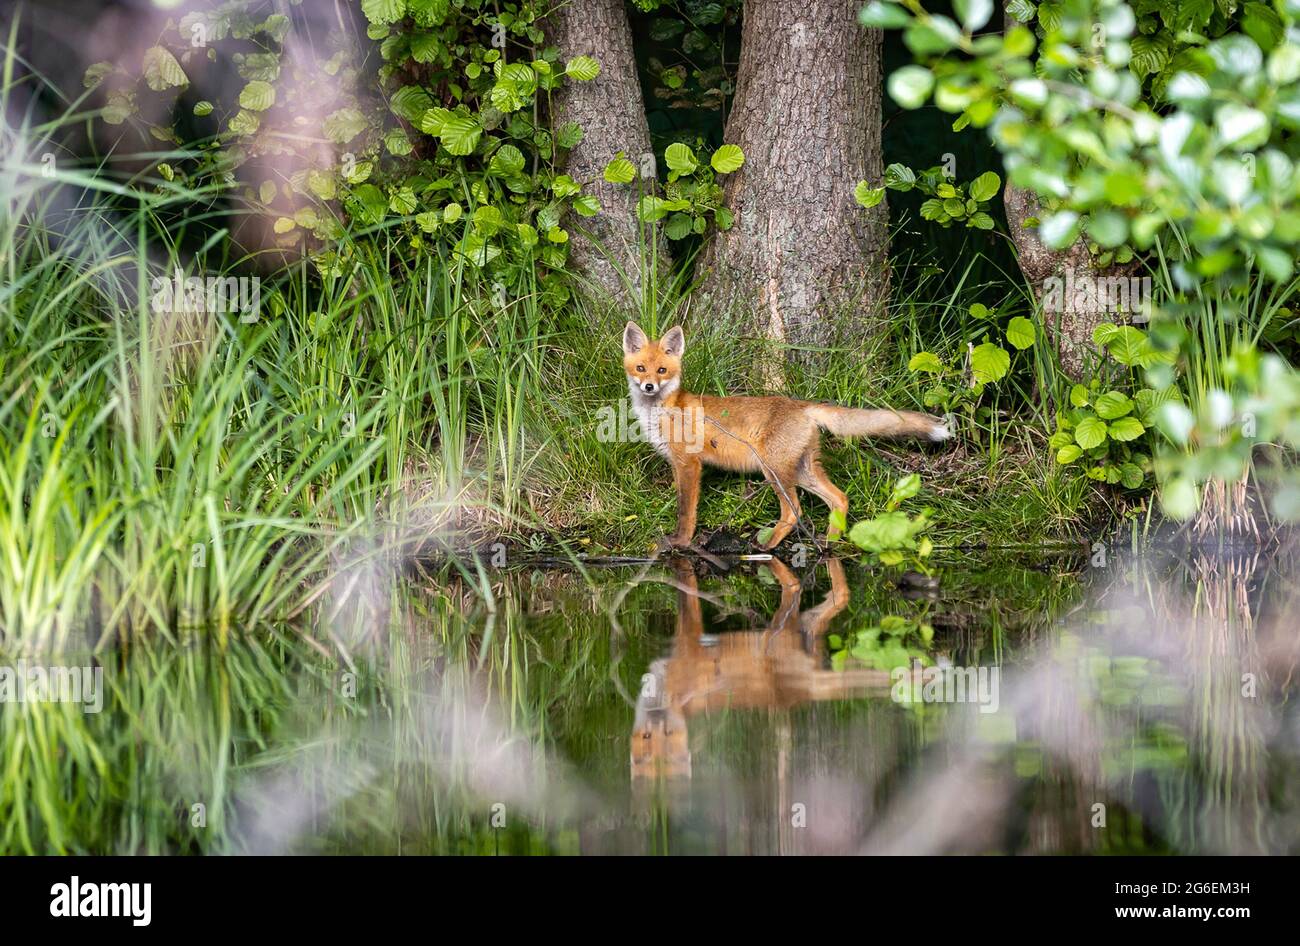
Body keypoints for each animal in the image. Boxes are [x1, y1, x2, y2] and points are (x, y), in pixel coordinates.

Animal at [621, 320, 950, 550]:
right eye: (641, 368)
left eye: (662, 371)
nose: (649, 387)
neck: (662, 412)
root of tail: (801, 405)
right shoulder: (677, 465)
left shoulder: (689, 464)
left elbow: (686, 511)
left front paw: (681, 542)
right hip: (802, 470)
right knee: (840, 498)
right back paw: (830, 544)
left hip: (774, 471)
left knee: (795, 511)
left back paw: (767, 546)